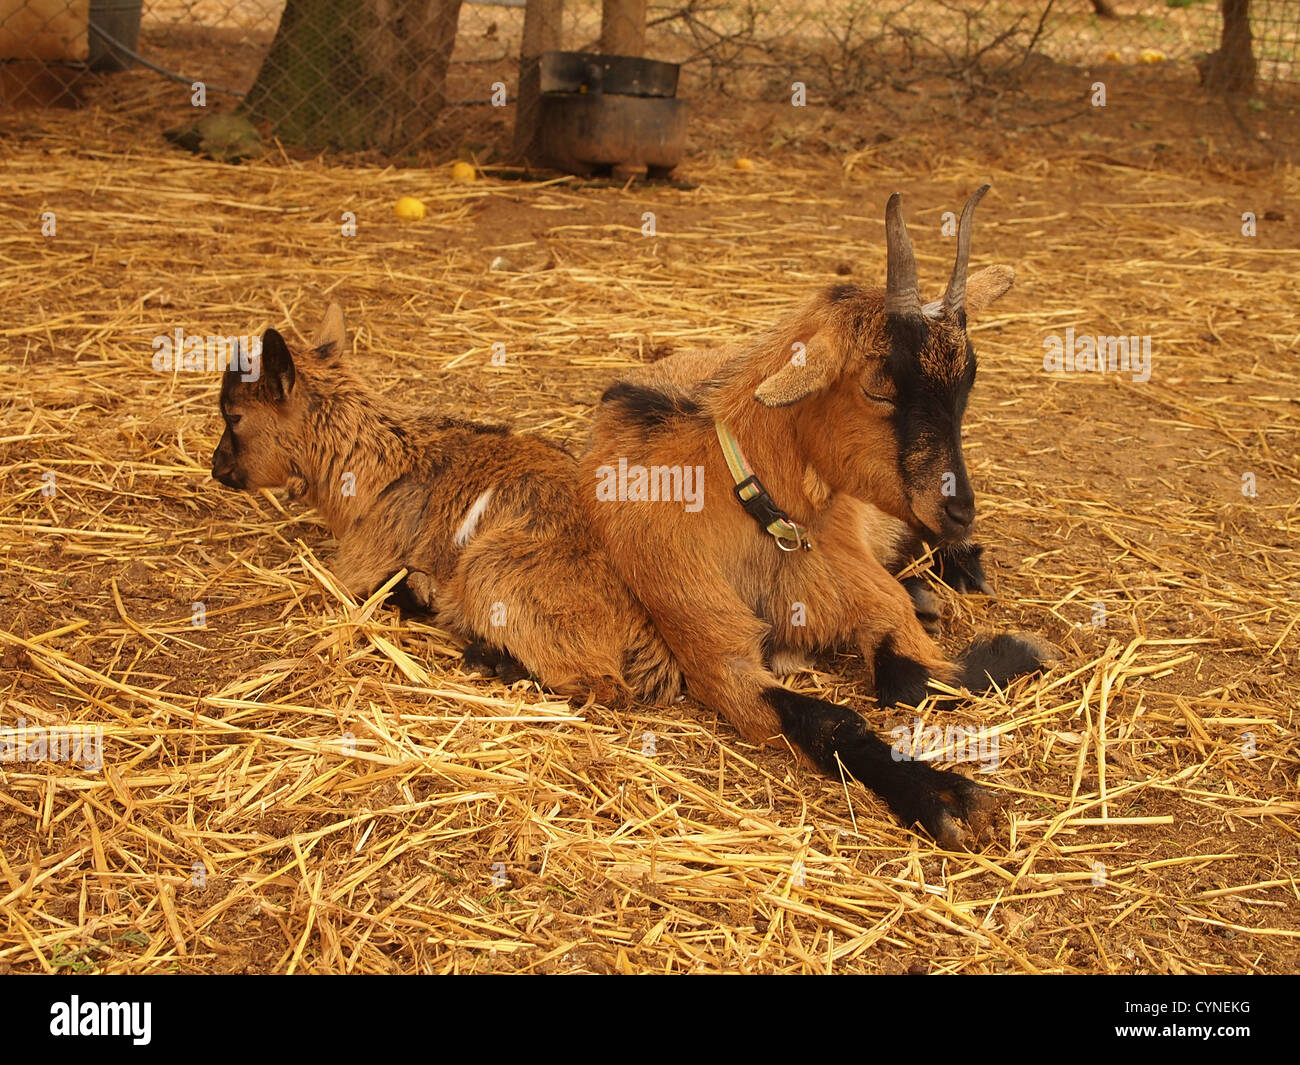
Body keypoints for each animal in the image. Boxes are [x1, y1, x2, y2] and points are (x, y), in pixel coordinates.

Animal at [579, 186, 1056, 846]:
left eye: (969, 384)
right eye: (879, 388)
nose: (959, 508)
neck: (759, 516)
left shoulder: (871, 593)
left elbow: (912, 675)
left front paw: (1015, 649)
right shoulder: (714, 652)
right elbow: (836, 719)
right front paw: (947, 799)